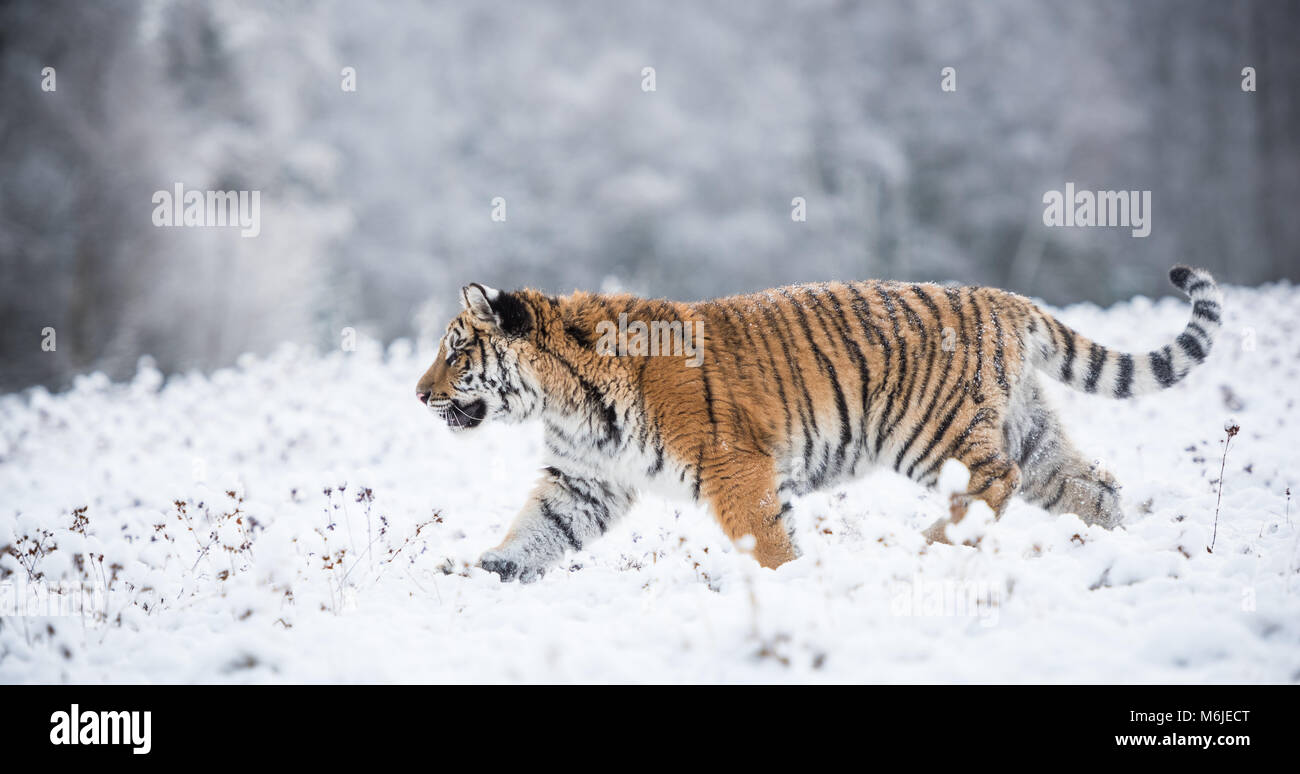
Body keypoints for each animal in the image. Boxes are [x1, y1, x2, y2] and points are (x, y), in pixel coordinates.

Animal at [415, 265, 1222, 582]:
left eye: (456, 352)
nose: (419, 395)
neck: (565, 397)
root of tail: (1003, 297)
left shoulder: (734, 464)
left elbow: (765, 537)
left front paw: (788, 584)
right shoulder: (583, 479)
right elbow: (536, 530)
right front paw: (487, 572)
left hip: (932, 431)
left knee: (996, 479)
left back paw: (929, 548)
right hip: (1030, 426)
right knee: (1091, 485)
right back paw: (1126, 547)